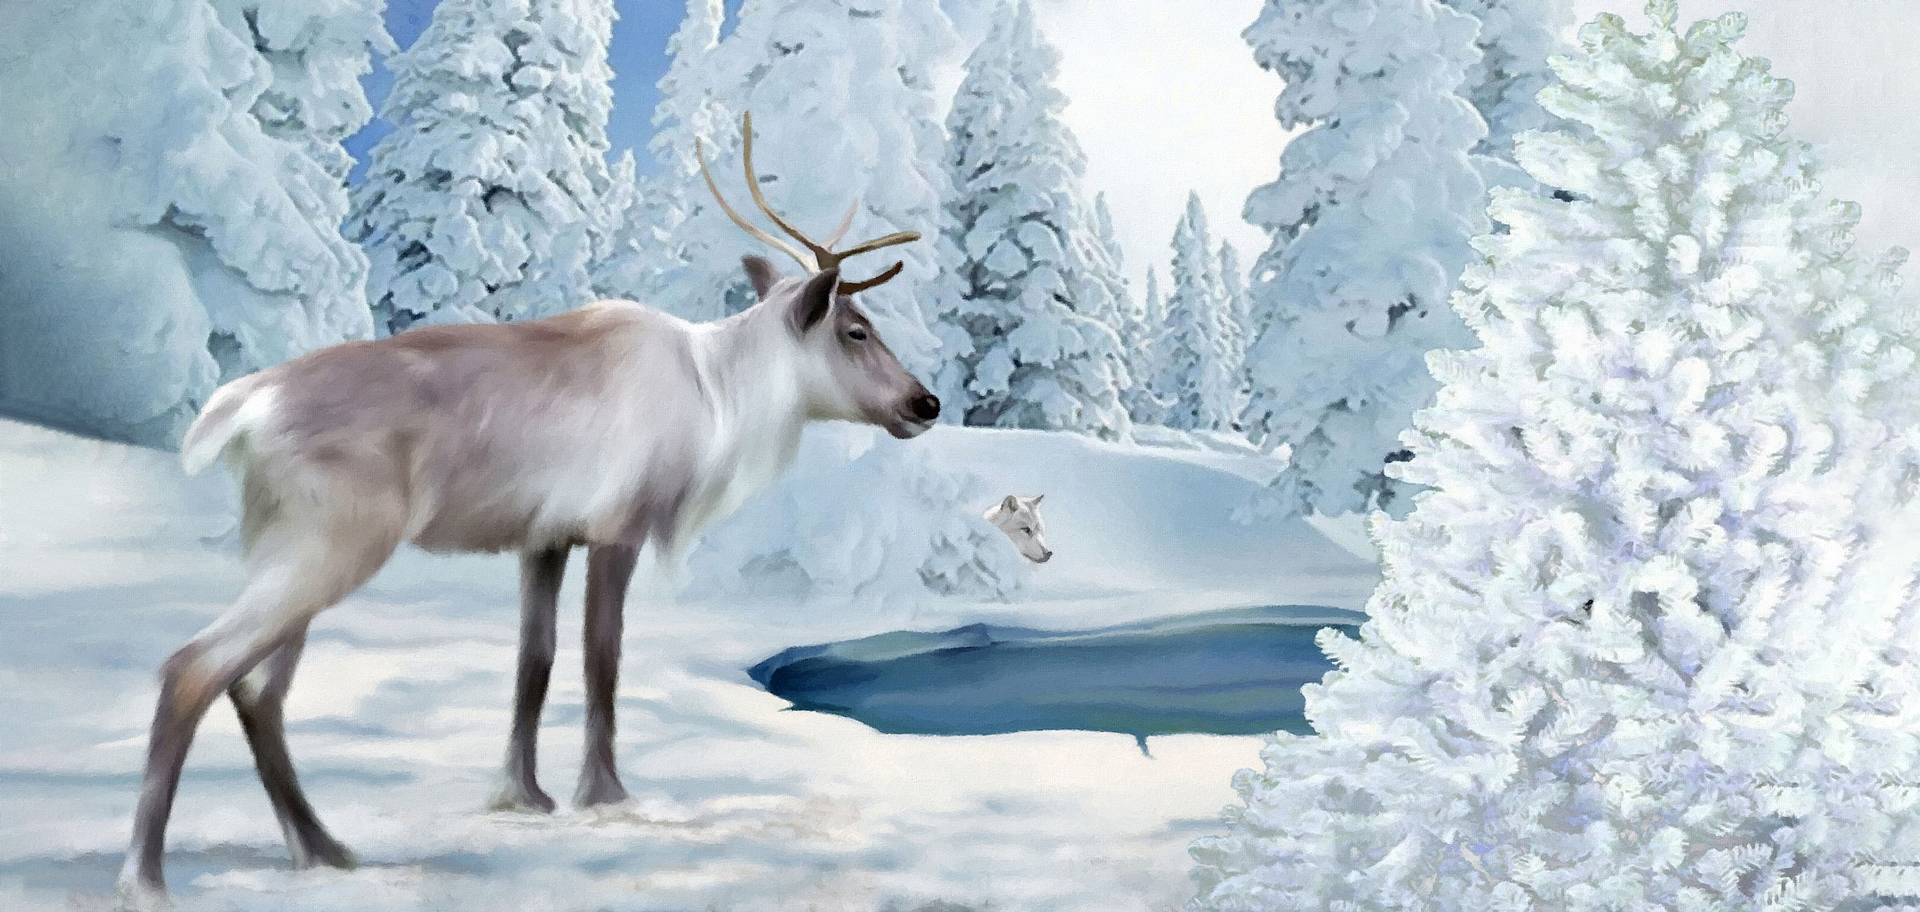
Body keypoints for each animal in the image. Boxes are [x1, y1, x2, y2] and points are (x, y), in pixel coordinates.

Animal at [116, 113, 942, 908]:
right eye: (856, 330)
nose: (925, 403)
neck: (723, 406)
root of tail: (243, 407)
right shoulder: (617, 526)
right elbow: (601, 659)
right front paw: (604, 794)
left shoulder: (543, 538)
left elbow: (532, 664)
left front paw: (523, 794)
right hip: (333, 542)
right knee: (195, 668)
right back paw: (147, 878)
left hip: (291, 547)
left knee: (257, 688)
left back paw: (321, 848)